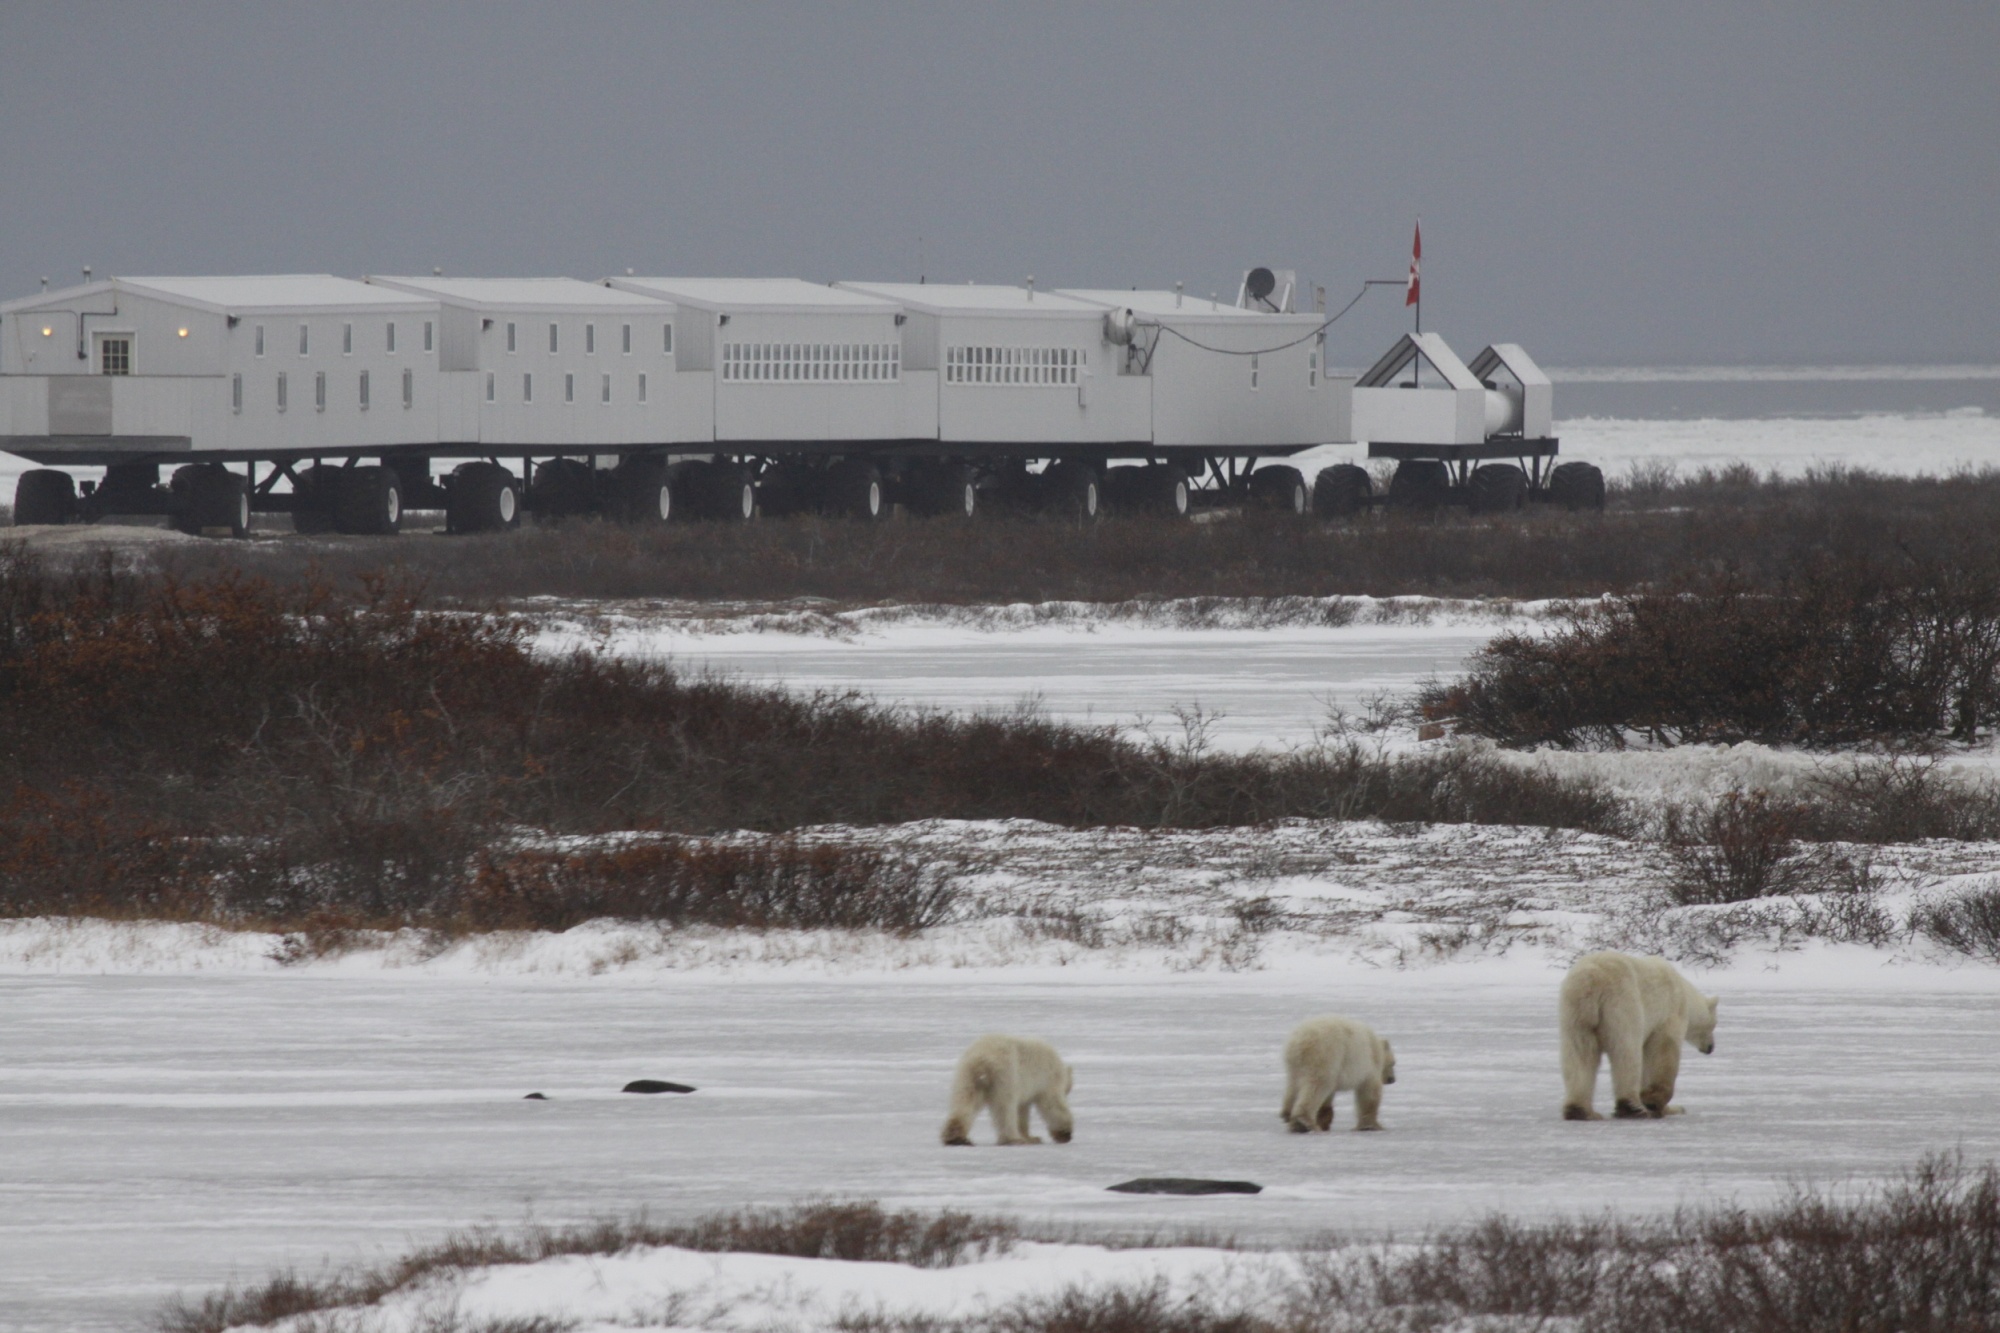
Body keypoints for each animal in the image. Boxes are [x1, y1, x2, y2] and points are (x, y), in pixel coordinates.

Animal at [940, 1034, 1074, 1146]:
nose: (1067, 1091)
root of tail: (982, 1060)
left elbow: (1022, 1110)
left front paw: (1030, 1137)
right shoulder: (1047, 1080)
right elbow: (1053, 1104)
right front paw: (1064, 1133)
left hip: (967, 1075)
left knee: (963, 1102)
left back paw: (955, 1137)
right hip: (1005, 1076)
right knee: (1004, 1108)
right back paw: (1013, 1139)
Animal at [1559, 950, 1719, 1121]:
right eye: (1714, 1024)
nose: (1711, 1047)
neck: (1684, 993)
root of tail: (1591, 979)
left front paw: (1671, 1108)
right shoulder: (1669, 1012)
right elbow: (1663, 1050)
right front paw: (1655, 1103)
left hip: (1575, 1012)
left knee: (1580, 1054)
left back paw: (1581, 1111)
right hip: (1622, 1003)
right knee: (1626, 1052)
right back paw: (1632, 1108)